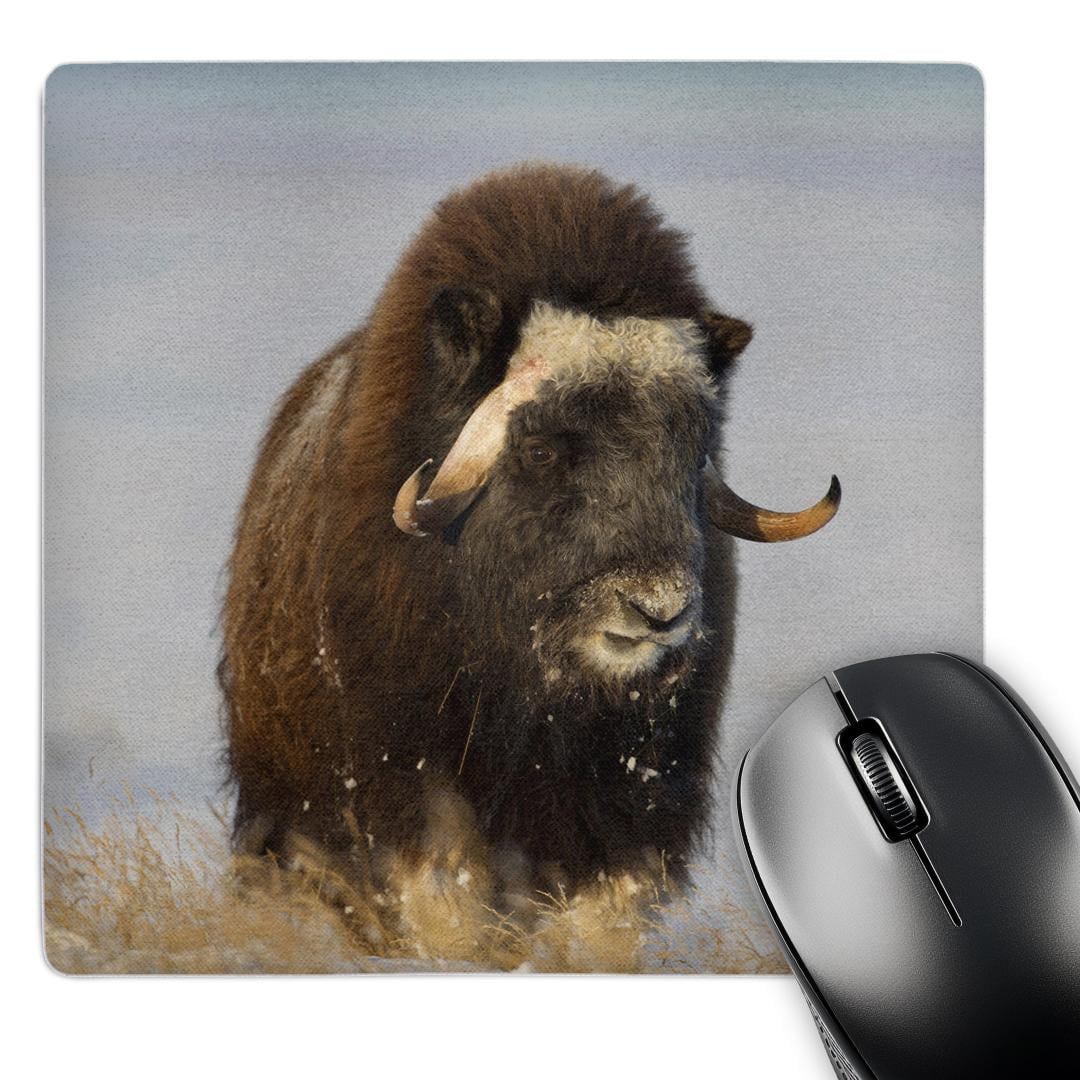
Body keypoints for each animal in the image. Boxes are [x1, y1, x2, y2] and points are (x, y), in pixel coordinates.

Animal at [220, 163, 839, 969]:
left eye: (694, 450)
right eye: (542, 450)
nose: (658, 609)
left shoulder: (628, 813)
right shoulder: (412, 788)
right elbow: (444, 897)